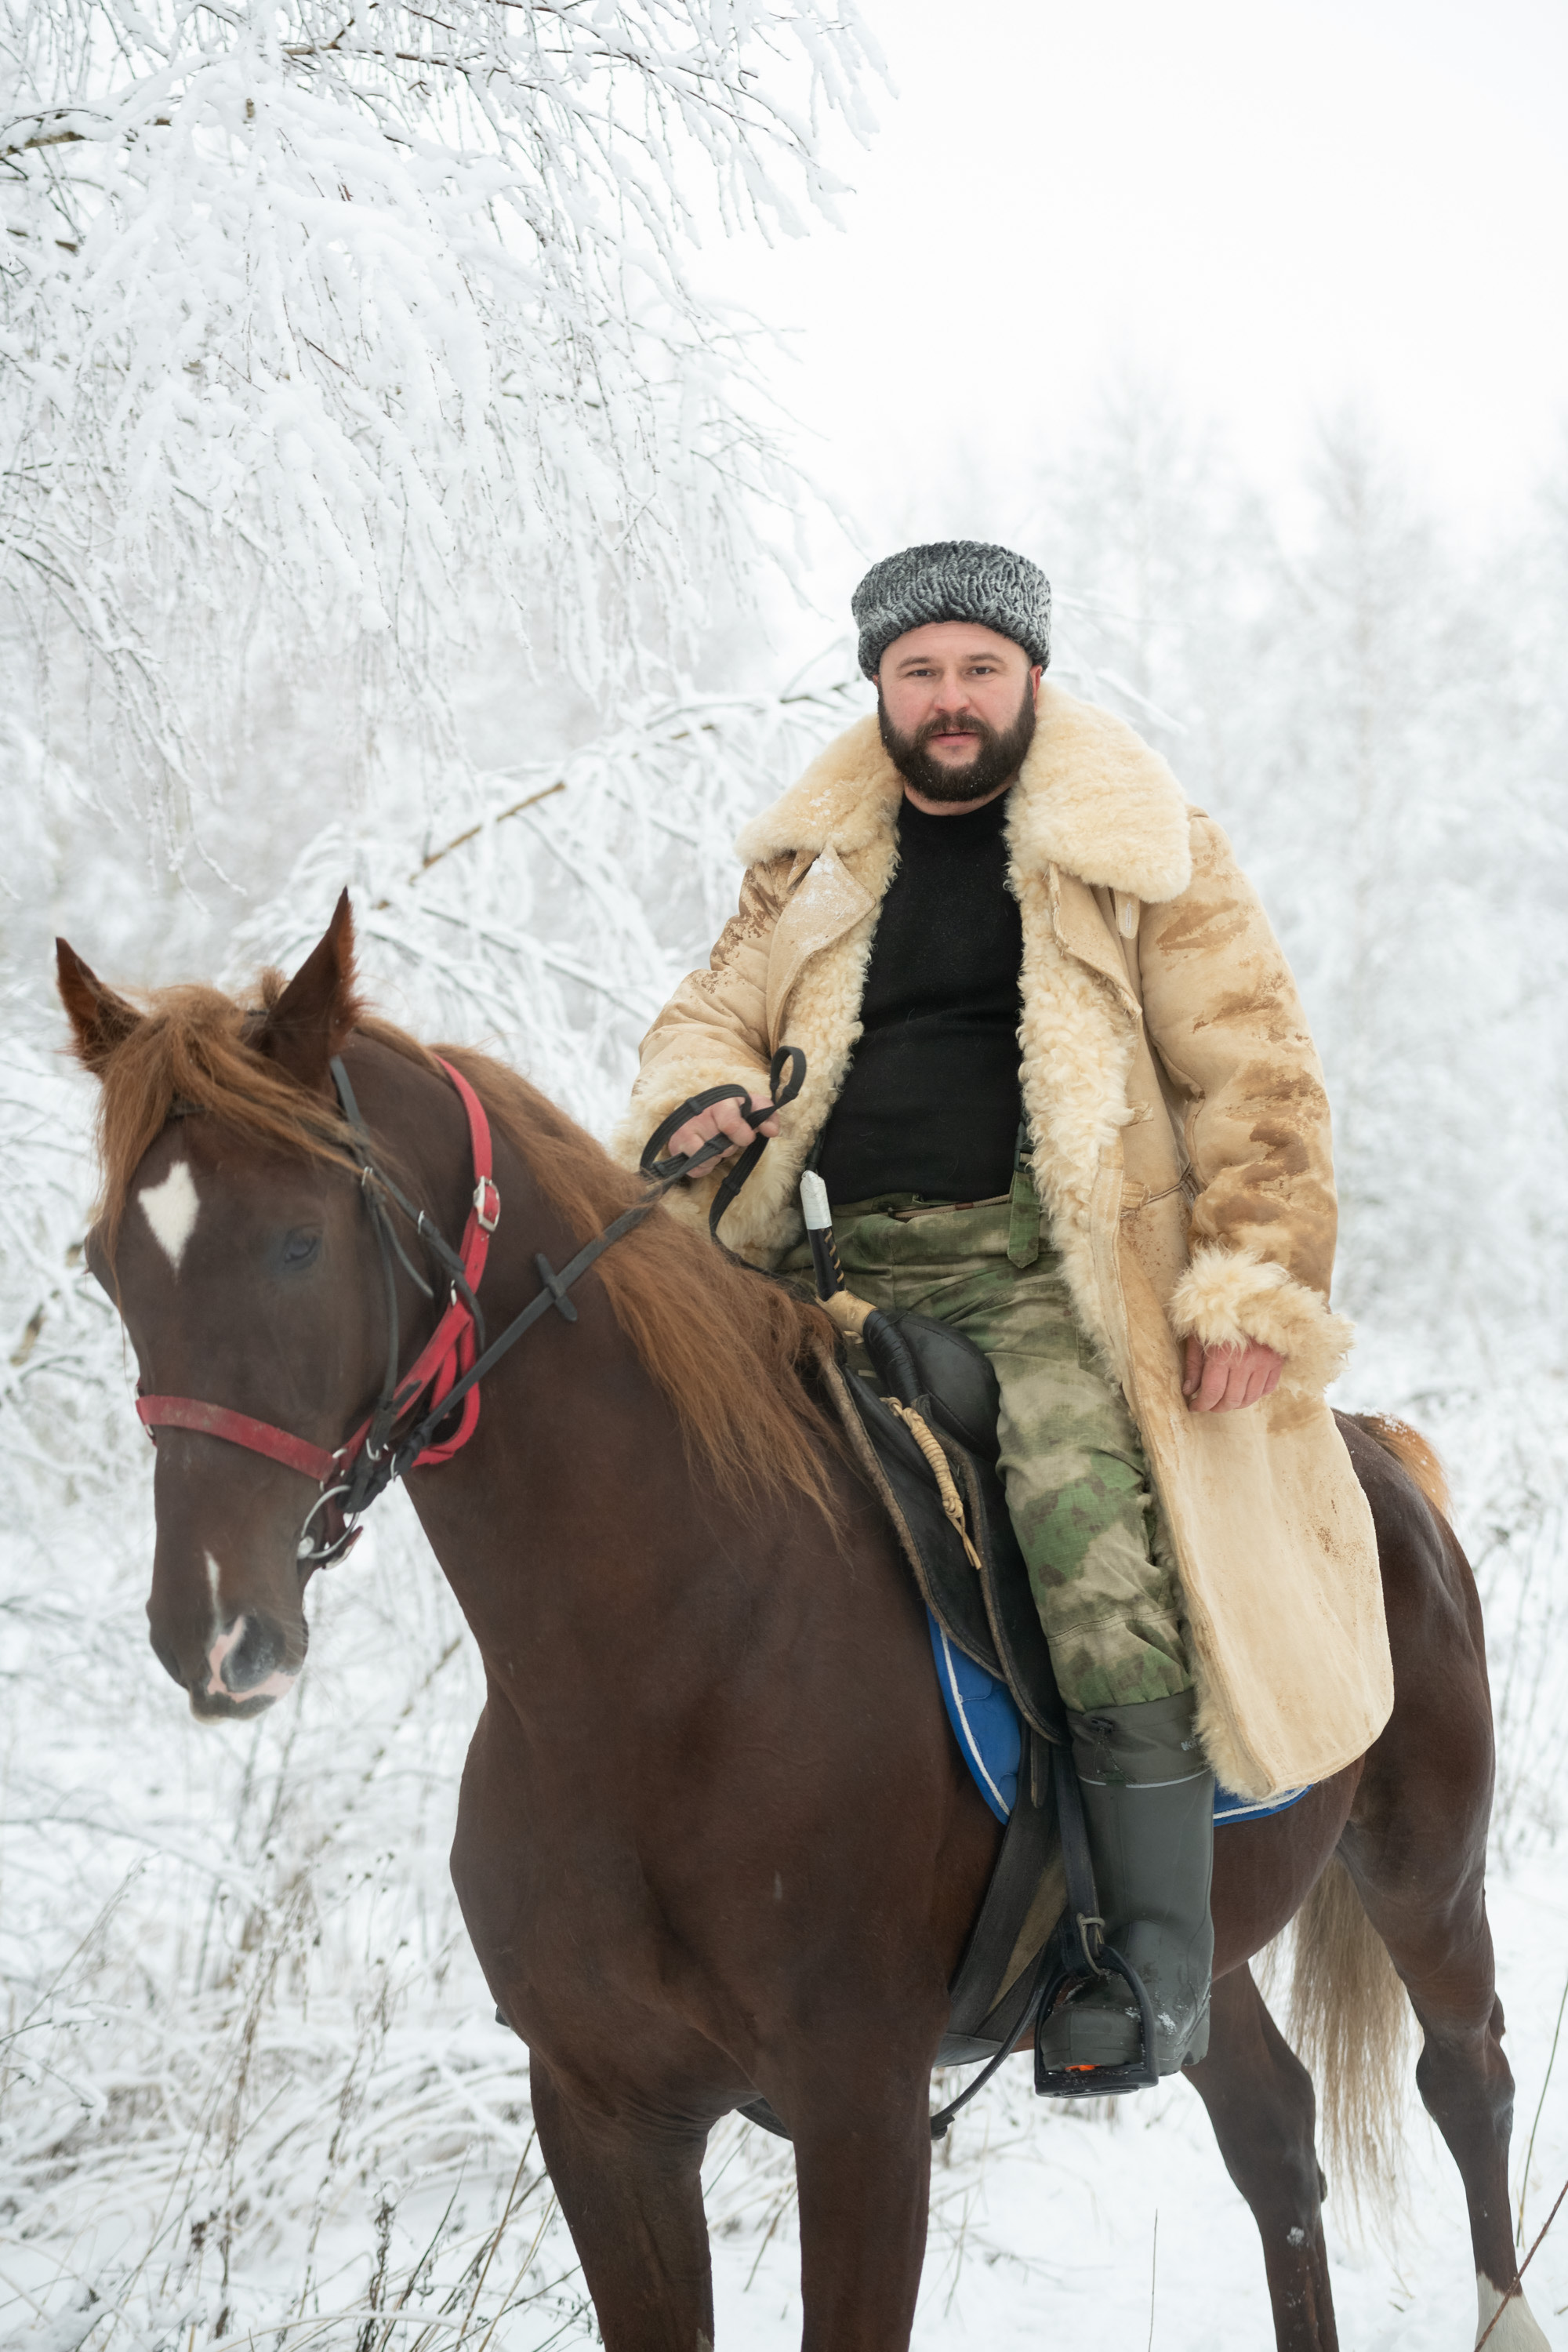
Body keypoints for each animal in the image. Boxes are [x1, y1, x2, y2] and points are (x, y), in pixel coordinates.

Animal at [58, 903, 1542, 2352]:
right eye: (108, 1264)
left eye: (300, 1241)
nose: (215, 1629)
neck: (661, 1663)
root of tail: (1383, 1459)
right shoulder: (607, 2120)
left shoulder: (861, 2119)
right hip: (1208, 1955)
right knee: (1276, 2134)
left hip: (1425, 1871)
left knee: (1466, 2073)